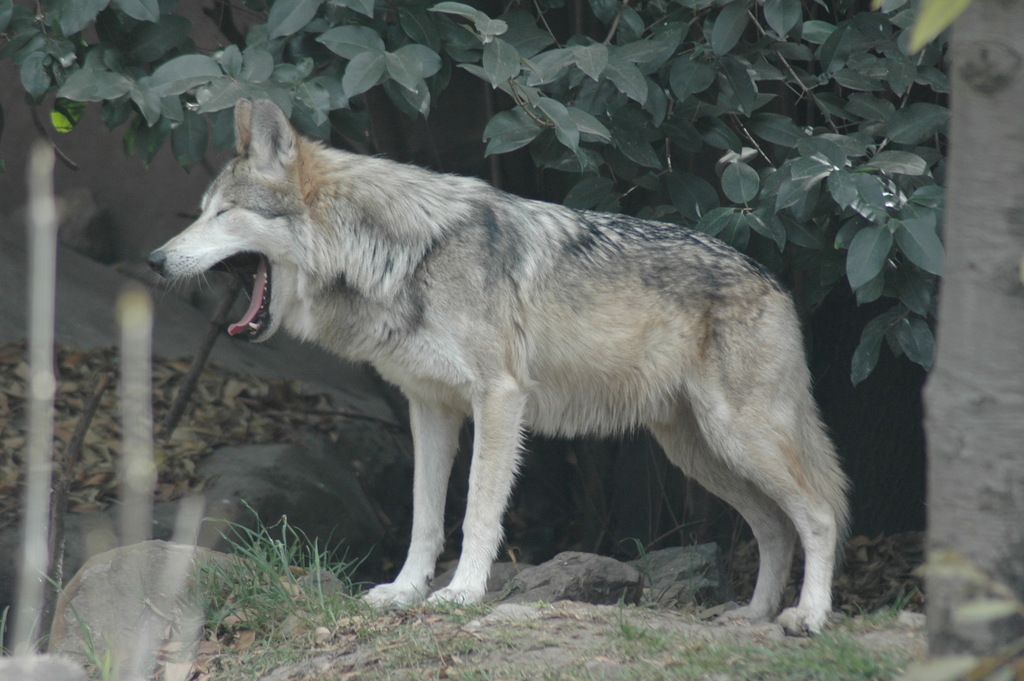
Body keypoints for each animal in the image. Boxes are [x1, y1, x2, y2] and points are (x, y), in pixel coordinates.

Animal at [148, 99, 849, 635]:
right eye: (201, 210)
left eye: (221, 213)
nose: (154, 260)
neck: (401, 257)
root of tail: (775, 284)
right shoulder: (429, 408)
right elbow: (425, 516)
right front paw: (405, 591)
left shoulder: (500, 400)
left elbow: (479, 511)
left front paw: (461, 594)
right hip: (698, 452)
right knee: (774, 528)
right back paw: (752, 617)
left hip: (738, 438)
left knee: (817, 515)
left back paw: (807, 617)